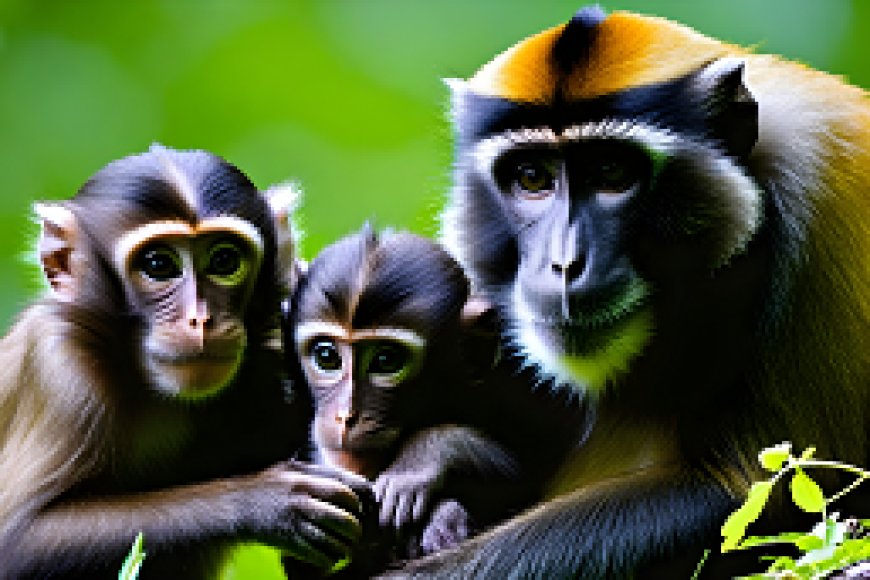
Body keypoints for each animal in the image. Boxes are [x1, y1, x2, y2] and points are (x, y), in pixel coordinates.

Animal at [0, 145, 368, 579]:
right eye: (158, 265)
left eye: (225, 261)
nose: (201, 319)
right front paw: (267, 502)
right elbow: (17, 541)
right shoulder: (59, 368)